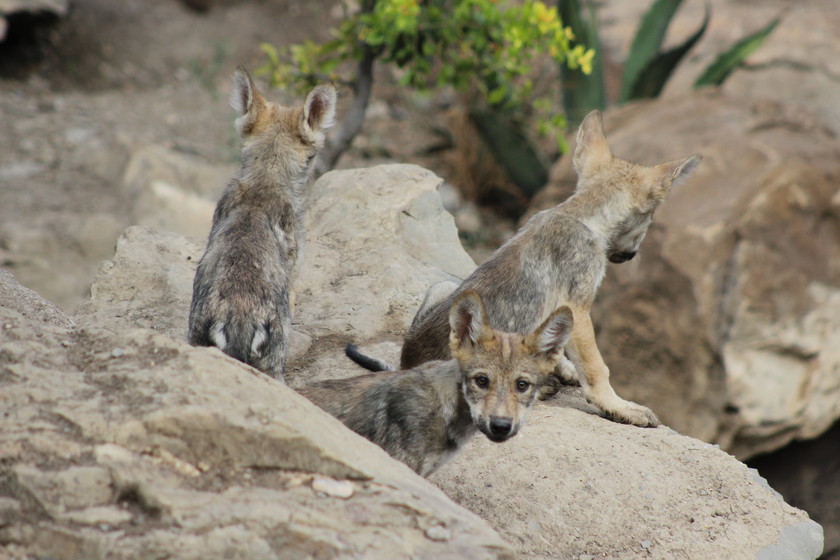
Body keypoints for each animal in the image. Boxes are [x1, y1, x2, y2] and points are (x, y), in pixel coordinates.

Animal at [349, 110, 701, 427]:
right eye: (651, 219)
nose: (632, 255)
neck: (581, 216)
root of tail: (406, 366)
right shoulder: (579, 307)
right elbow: (597, 369)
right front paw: (620, 407)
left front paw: (560, 364)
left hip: (444, 286)